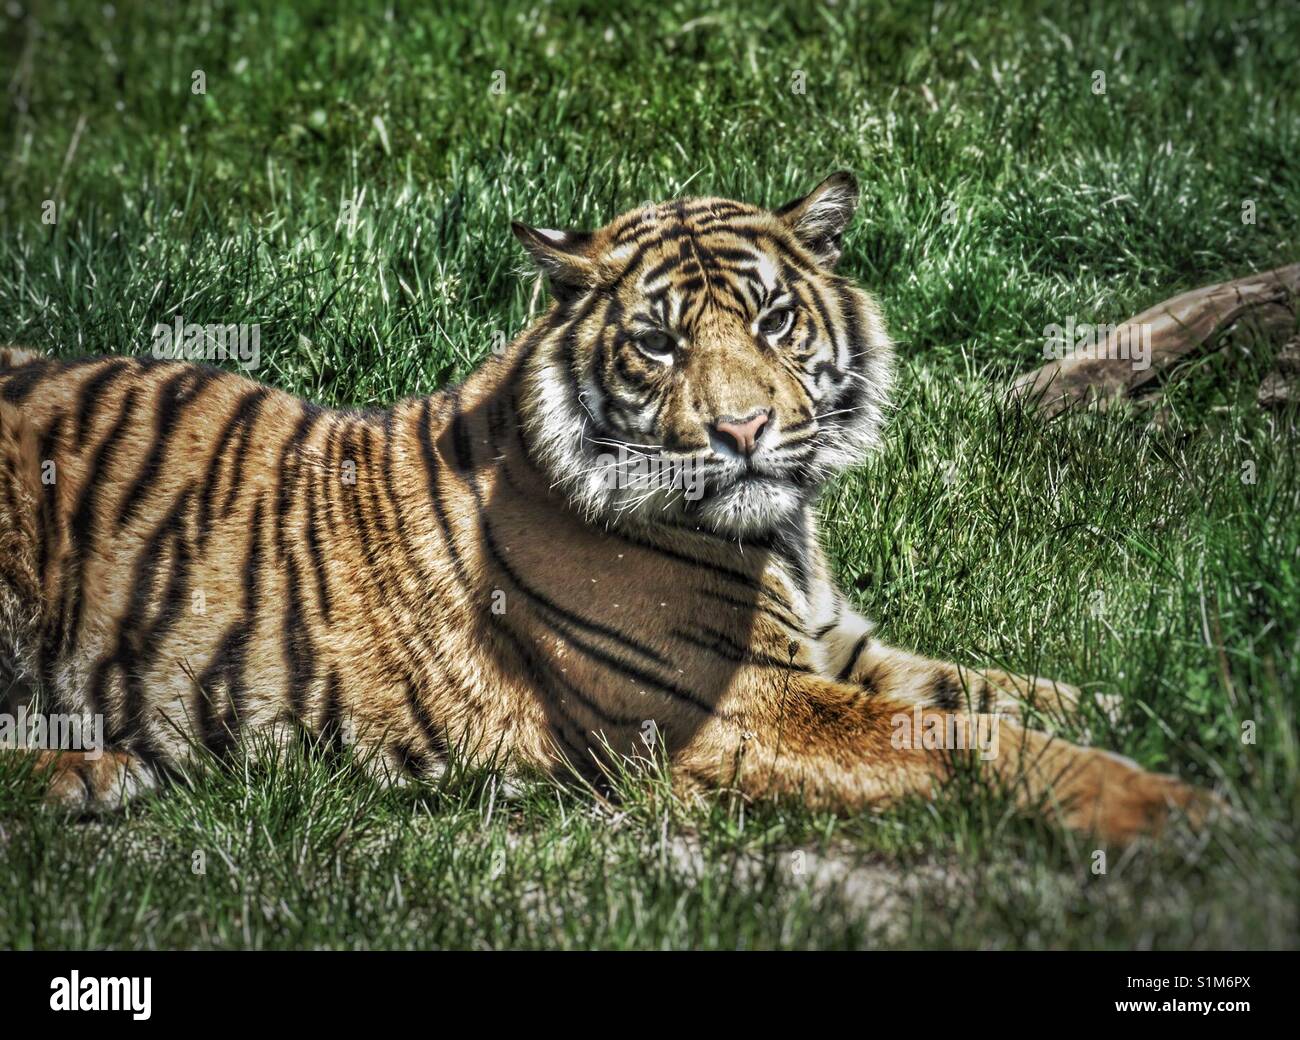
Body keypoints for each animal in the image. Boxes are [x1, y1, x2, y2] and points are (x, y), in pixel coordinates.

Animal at [0, 172, 1217, 842]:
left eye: (773, 320)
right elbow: (980, 738)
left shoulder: (839, 646)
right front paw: (1174, 811)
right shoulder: (749, 711)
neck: (780, 535)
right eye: (660, 341)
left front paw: (1196, 712)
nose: (743, 430)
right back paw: (97, 774)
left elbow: (1016, 691)